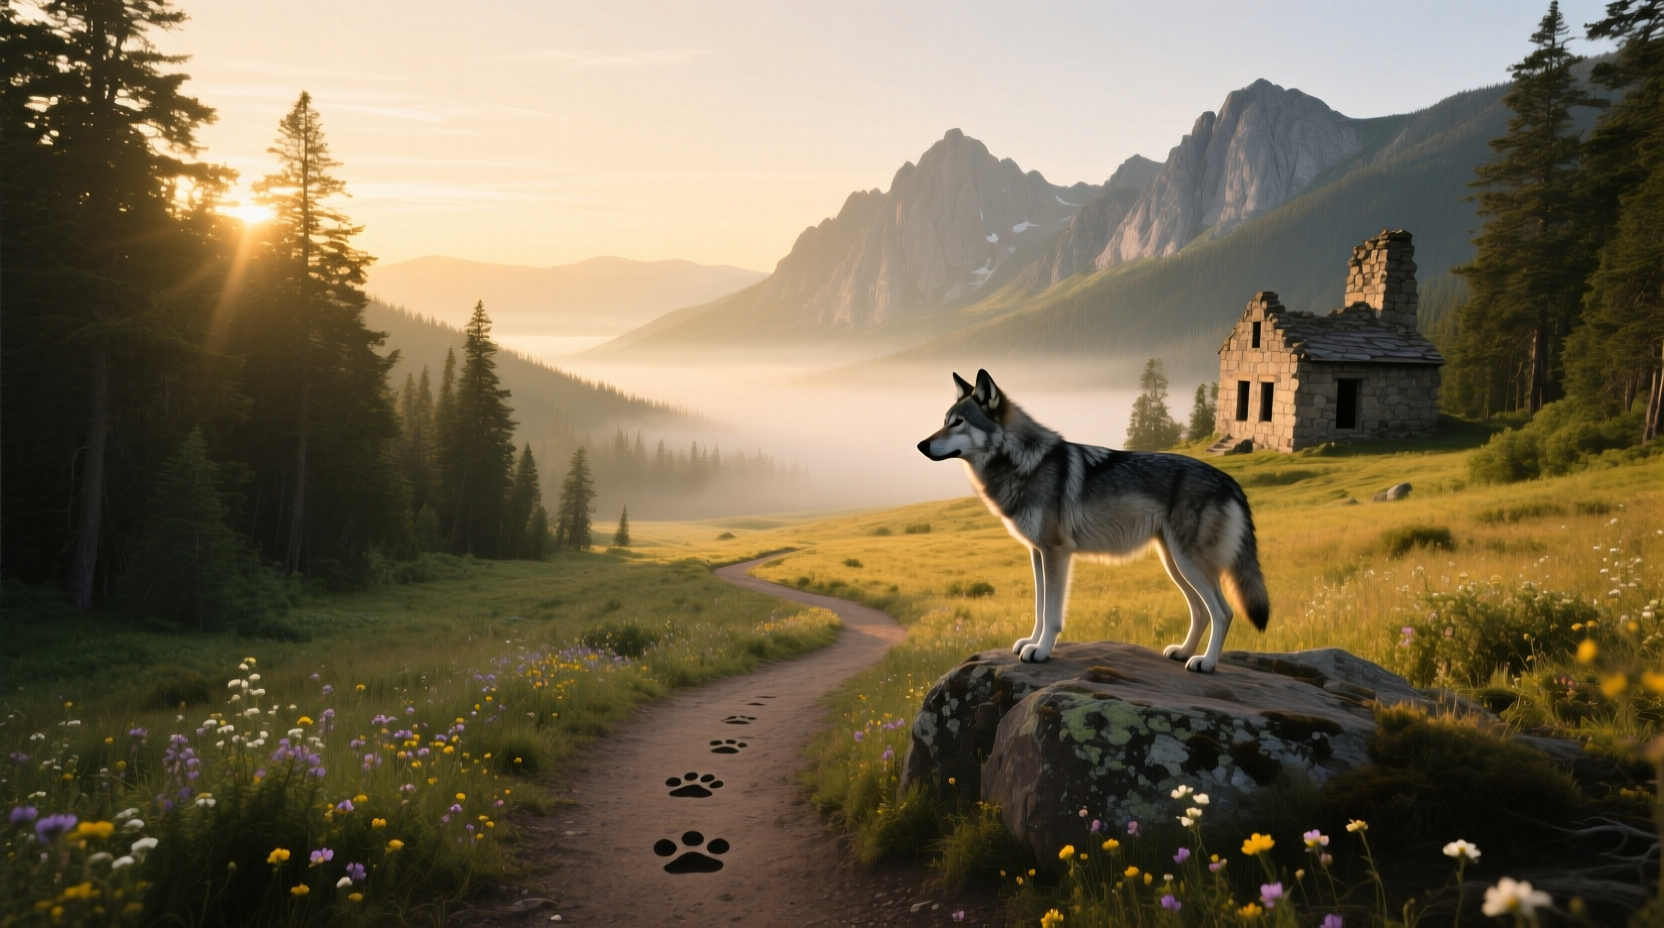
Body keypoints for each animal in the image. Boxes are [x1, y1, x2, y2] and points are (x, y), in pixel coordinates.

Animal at [916, 369, 1269, 672]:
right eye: (944, 421)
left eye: (958, 422)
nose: (921, 444)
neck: (1023, 462)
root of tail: (1231, 481)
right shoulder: (1037, 553)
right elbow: (1040, 608)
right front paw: (1031, 642)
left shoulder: (1056, 553)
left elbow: (1052, 613)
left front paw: (1041, 651)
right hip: (1176, 564)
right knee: (1200, 611)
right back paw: (1183, 652)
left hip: (1188, 564)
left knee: (1223, 612)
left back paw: (1205, 663)